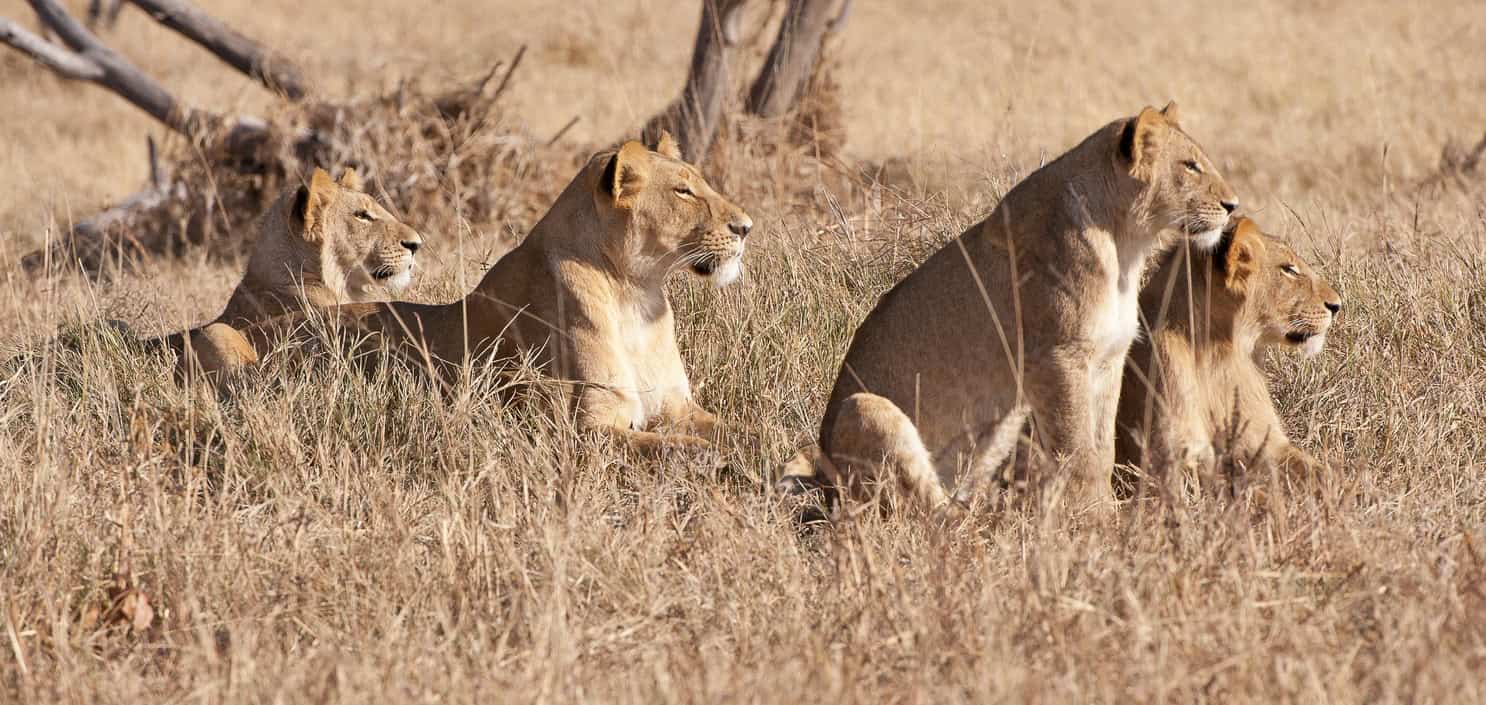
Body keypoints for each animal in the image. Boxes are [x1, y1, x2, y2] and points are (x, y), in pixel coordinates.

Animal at [220, 132, 752, 454]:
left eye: (701, 183)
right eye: (684, 192)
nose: (746, 226)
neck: (637, 295)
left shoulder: (680, 407)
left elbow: (736, 427)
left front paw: (766, 445)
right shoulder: (587, 427)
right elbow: (681, 447)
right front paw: (731, 461)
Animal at [781, 102, 1238, 514]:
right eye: (1190, 166)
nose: (1233, 205)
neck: (1125, 244)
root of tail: (825, 487)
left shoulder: (1109, 359)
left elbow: (1102, 448)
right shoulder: (1057, 358)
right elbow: (1078, 450)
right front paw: (1097, 518)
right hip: (865, 408)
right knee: (924, 514)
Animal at [1116, 216, 1341, 495]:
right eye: (1289, 269)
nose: (1337, 305)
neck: (1218, 349)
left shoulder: (1265, 441)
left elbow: (1320, 472)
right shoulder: (1166, 462)